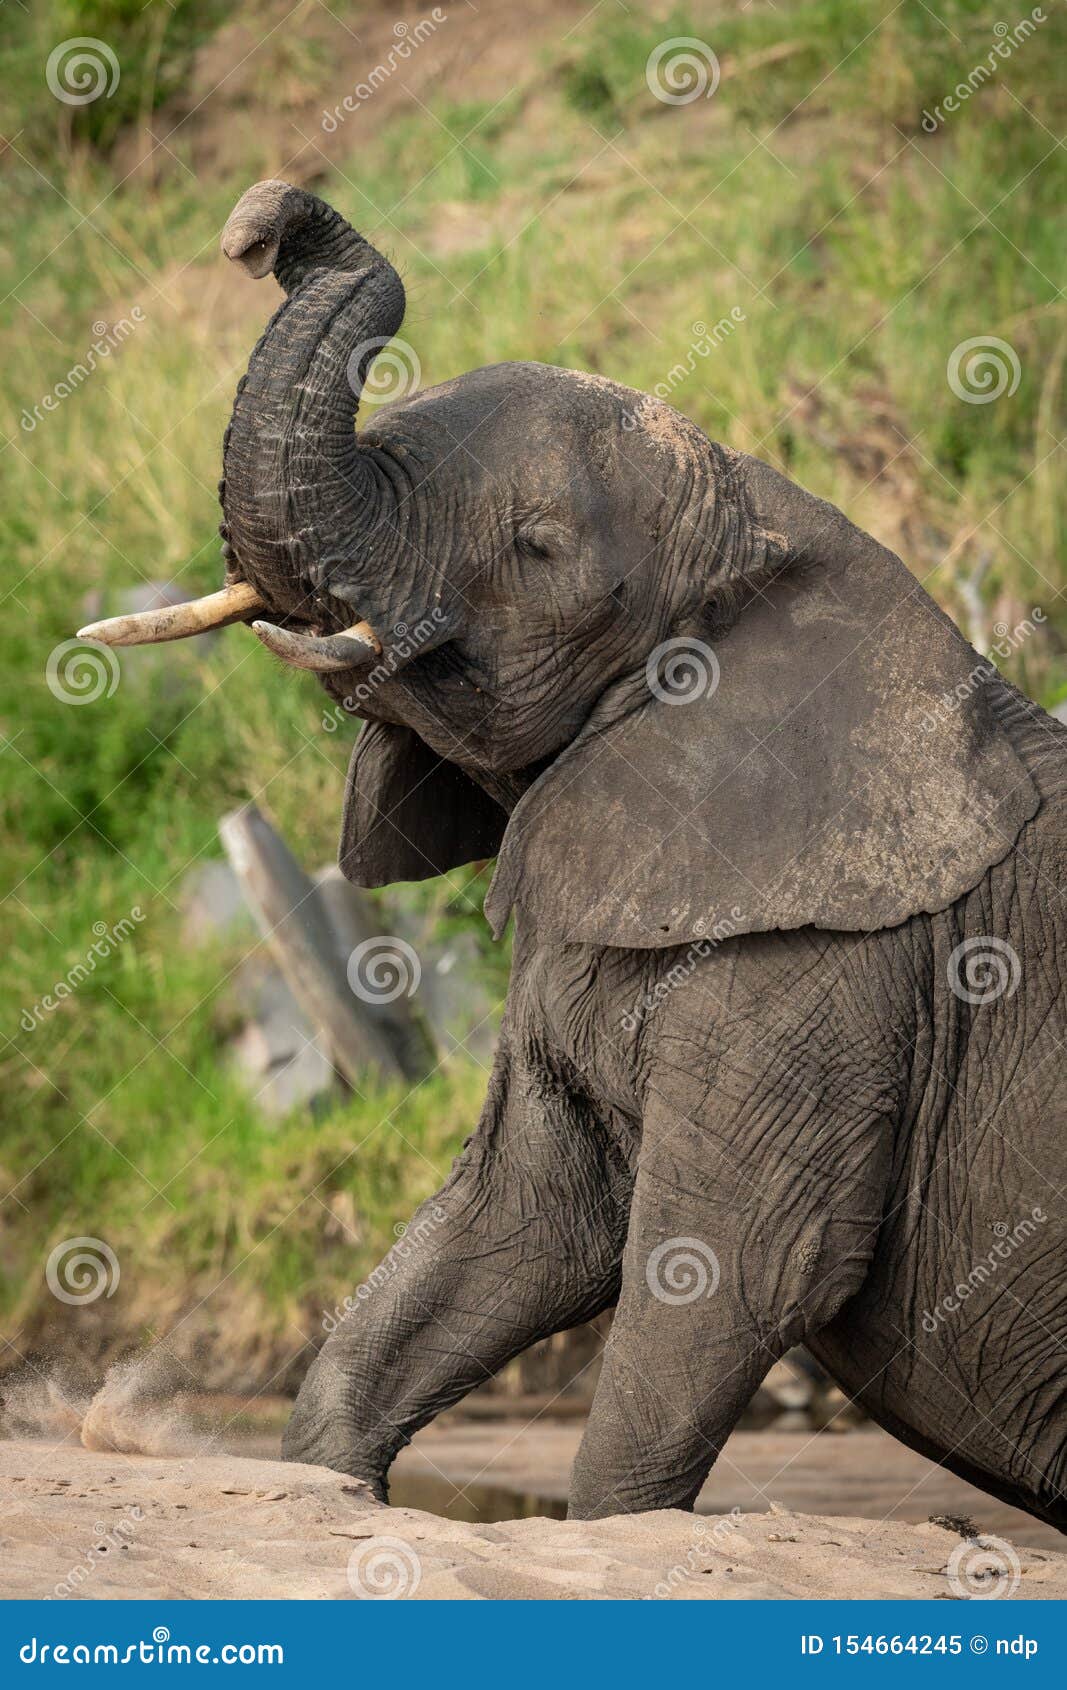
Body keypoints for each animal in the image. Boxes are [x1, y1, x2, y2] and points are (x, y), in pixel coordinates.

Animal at [81, 181, 1067, 1528]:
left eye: (538, 550)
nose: (265, 220)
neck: (772, 514)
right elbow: (514, 1225)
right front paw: (333, 1491)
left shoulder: (832, 973)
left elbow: (735, 1271)